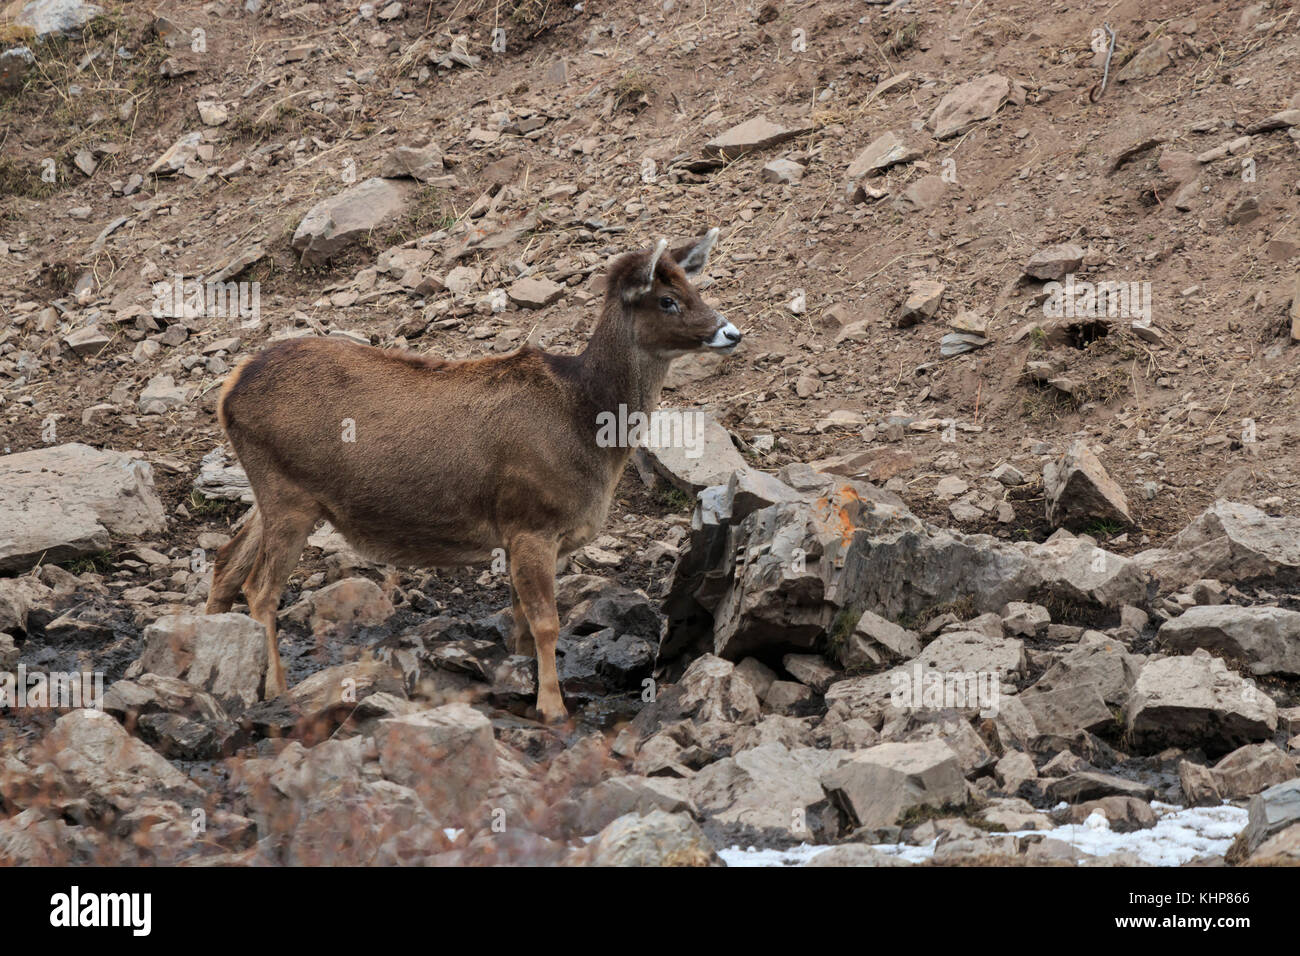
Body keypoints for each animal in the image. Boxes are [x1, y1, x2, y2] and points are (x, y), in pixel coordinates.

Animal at [203, 229, 739, 723]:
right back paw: (276, 689)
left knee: (226, 561)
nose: (730, 332)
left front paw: (523, 688)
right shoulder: (531, 521)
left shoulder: (519, 534)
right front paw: (552, 708)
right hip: (288, 492)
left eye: (694, 287)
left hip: (270, 488)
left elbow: (520, 623)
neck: (586, 423)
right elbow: (546, 623)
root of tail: (228, 391)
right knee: (261, 589)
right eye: (667, 299)